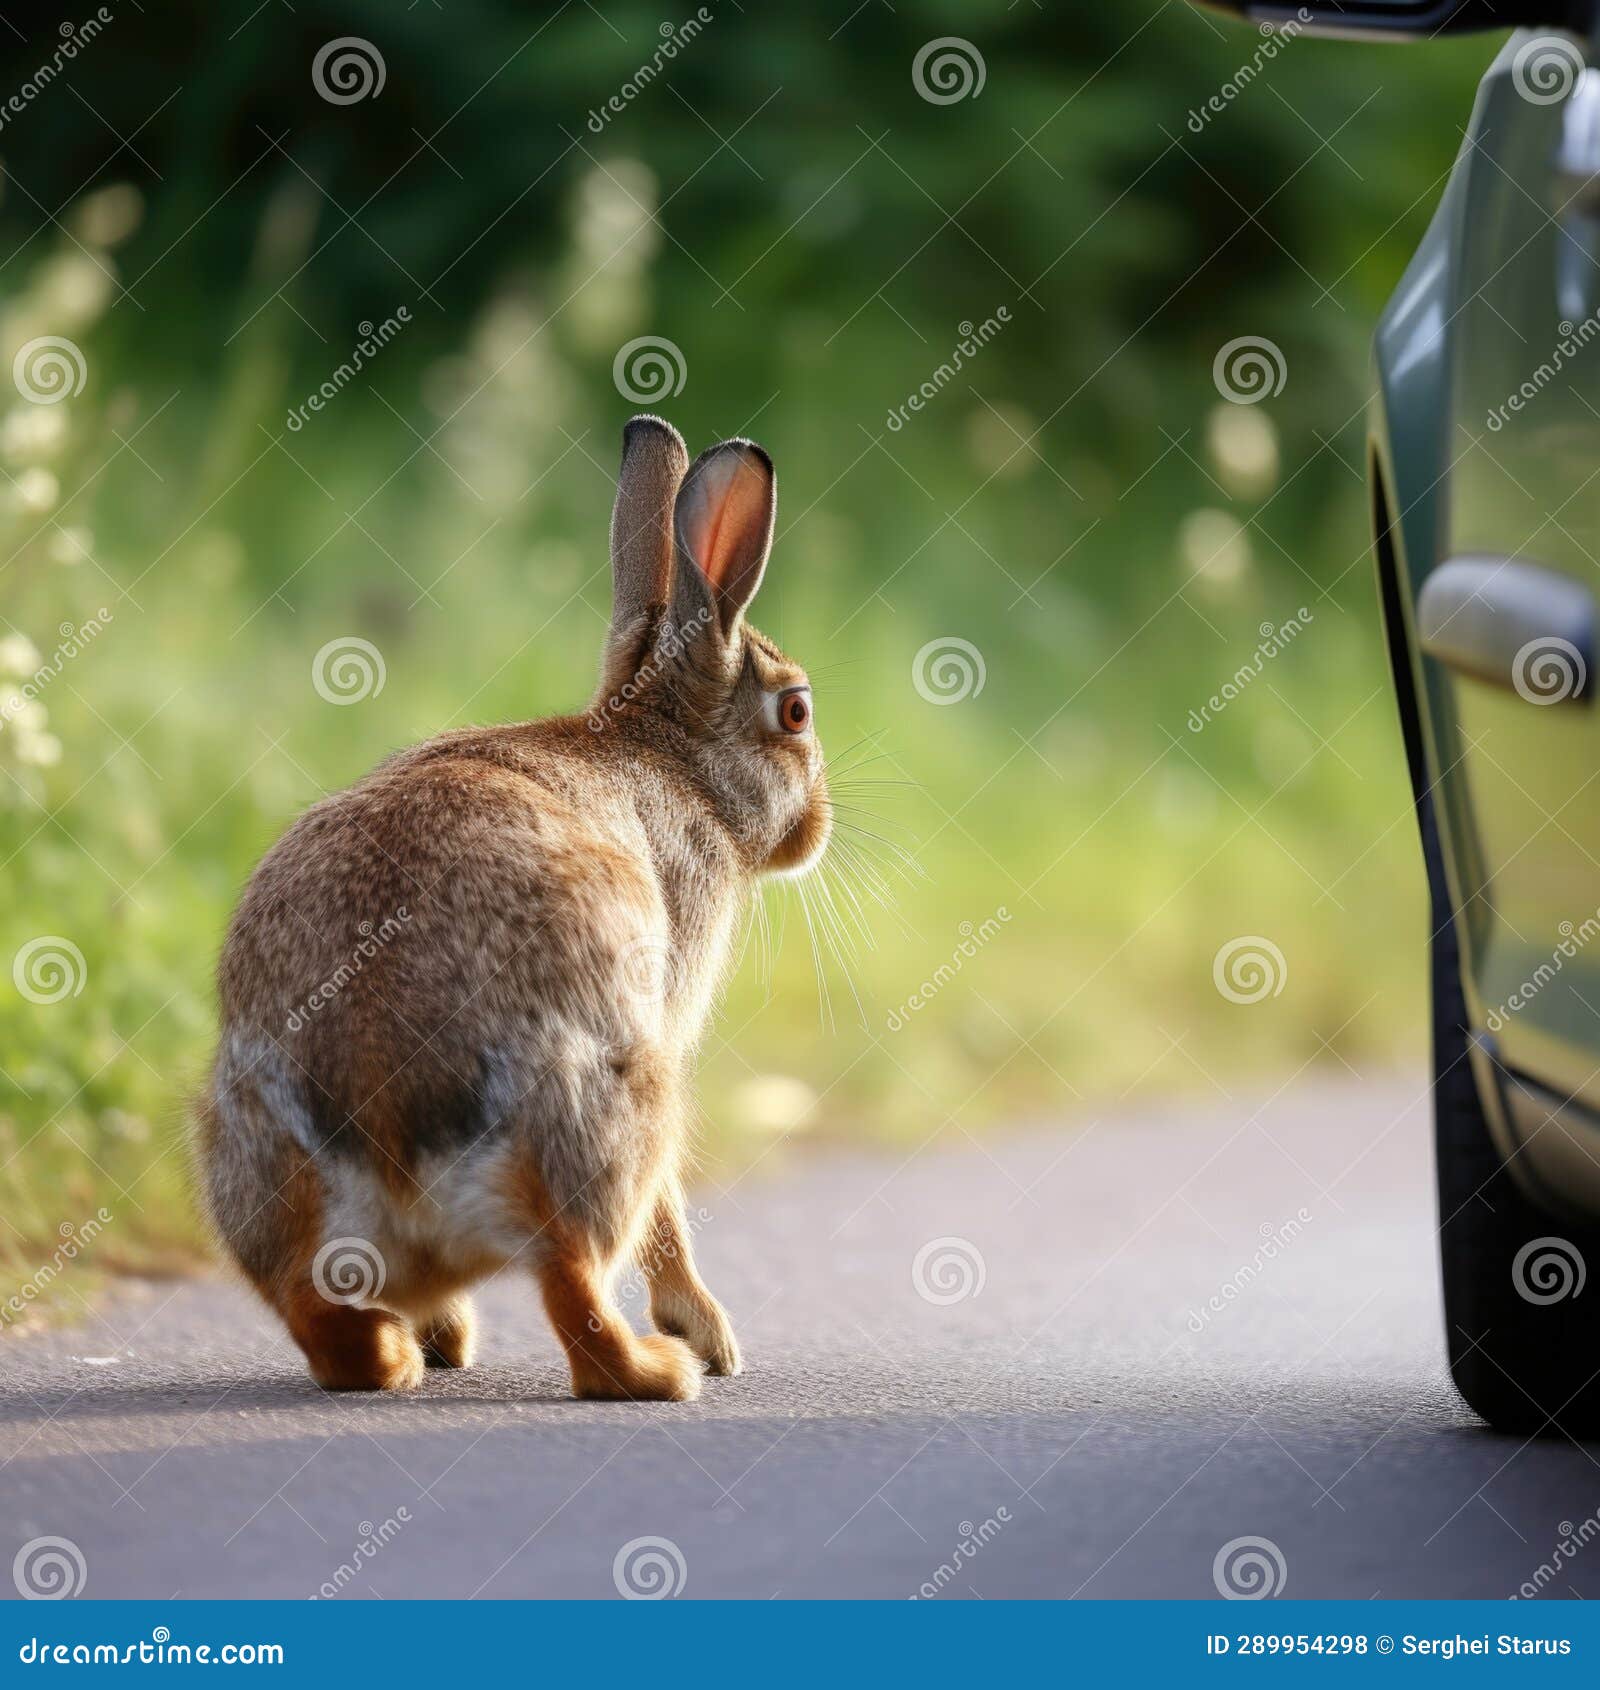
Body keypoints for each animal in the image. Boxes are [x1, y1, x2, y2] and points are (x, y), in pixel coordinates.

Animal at [193, 416, 829, 1400]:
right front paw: (711, 1335)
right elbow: (668, 1215)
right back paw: (664, 1368)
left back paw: (412, 1353)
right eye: (795, 713)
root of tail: (390, 1142)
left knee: (320, 1317)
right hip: (621, 1093)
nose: (818, 830)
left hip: (246, 1150)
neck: (675, 763)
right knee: (577, 1284)